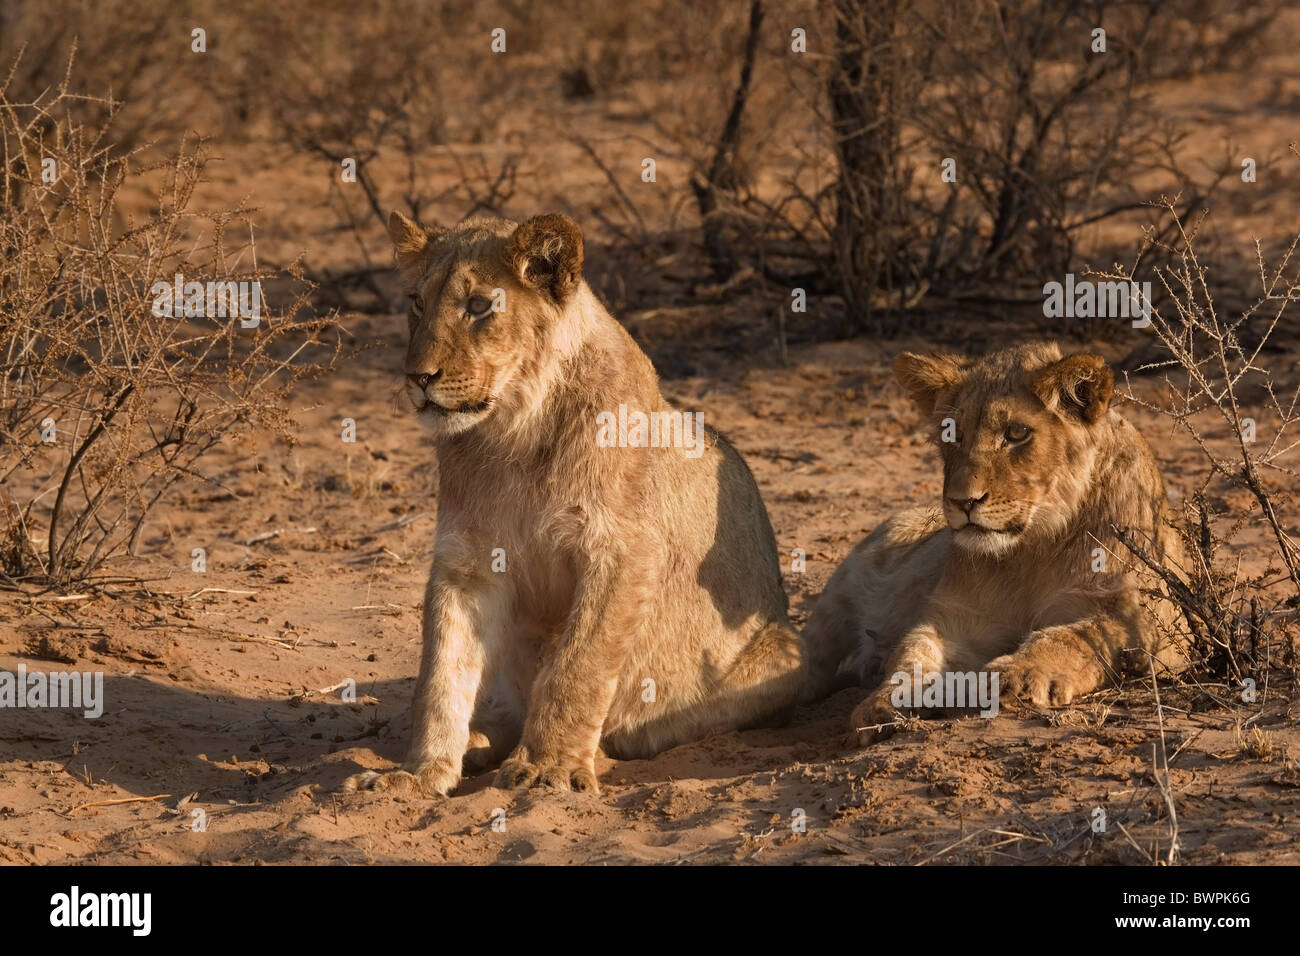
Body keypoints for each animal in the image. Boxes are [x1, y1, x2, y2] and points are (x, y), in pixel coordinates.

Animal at [343, 210, 842, 797]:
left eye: (481, 306)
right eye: (417, 303)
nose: (418, 378)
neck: (514, 430)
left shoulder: (623, 550)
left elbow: (576, 667)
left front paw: (547, 768)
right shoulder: (466, 564)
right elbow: (441, 677)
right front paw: (416, 777)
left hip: (784, 650)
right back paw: (480, 740)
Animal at [802, 342, 1189, 746]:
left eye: (1017, 433)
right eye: (952, 434)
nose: (963, 502)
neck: (1032, 547)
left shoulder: (1143, 619)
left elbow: (1075, 636)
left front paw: (1018, 675)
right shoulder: (957, 618)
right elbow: (913, 653)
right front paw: (883, 703)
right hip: (838, 600)